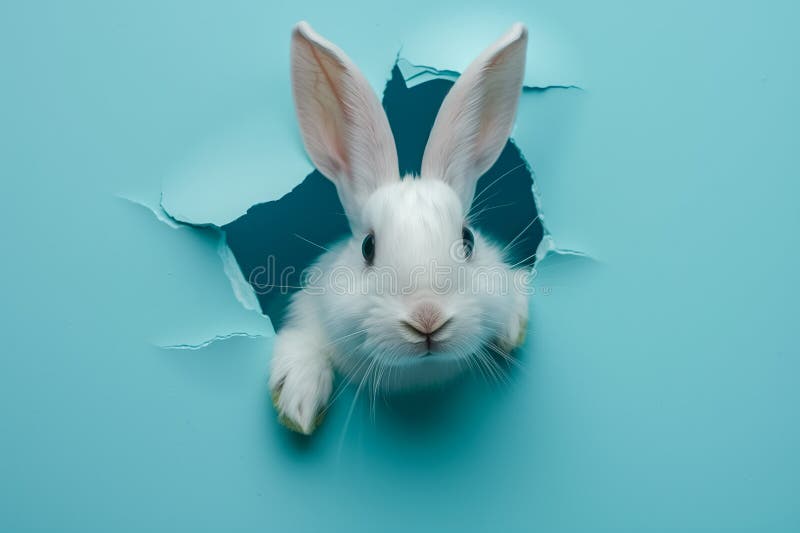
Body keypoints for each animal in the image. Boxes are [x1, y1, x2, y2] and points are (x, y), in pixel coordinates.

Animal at [270, 21, 531, 434]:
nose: (428, 318)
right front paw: (299, 402)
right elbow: (302, 346)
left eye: (468, 240)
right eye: (367, 247)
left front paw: (512, 328)